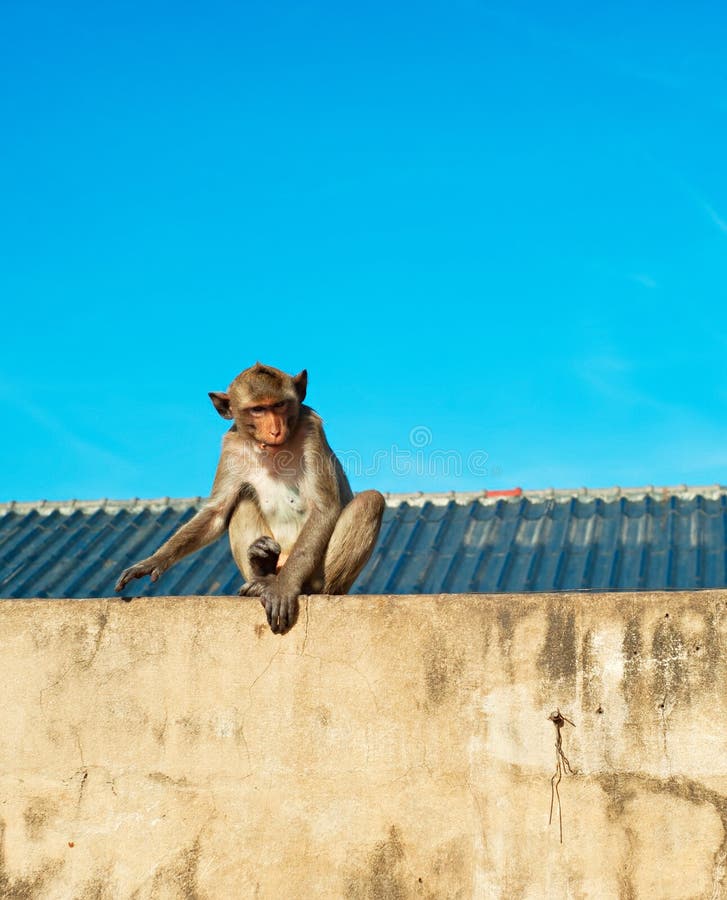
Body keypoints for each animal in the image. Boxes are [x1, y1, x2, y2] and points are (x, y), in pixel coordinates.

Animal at [115, 363, 385, 634]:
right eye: (258, 410)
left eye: (279, 405)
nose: (275, 429)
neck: (272, 449)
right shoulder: (232, 446)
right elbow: (217, 513)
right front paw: (153, 561)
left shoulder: (312, 431)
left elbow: (324, 508)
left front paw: (284, 588)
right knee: (242, 500)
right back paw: (261, 573)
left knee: (370, 501)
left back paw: (307, 588)